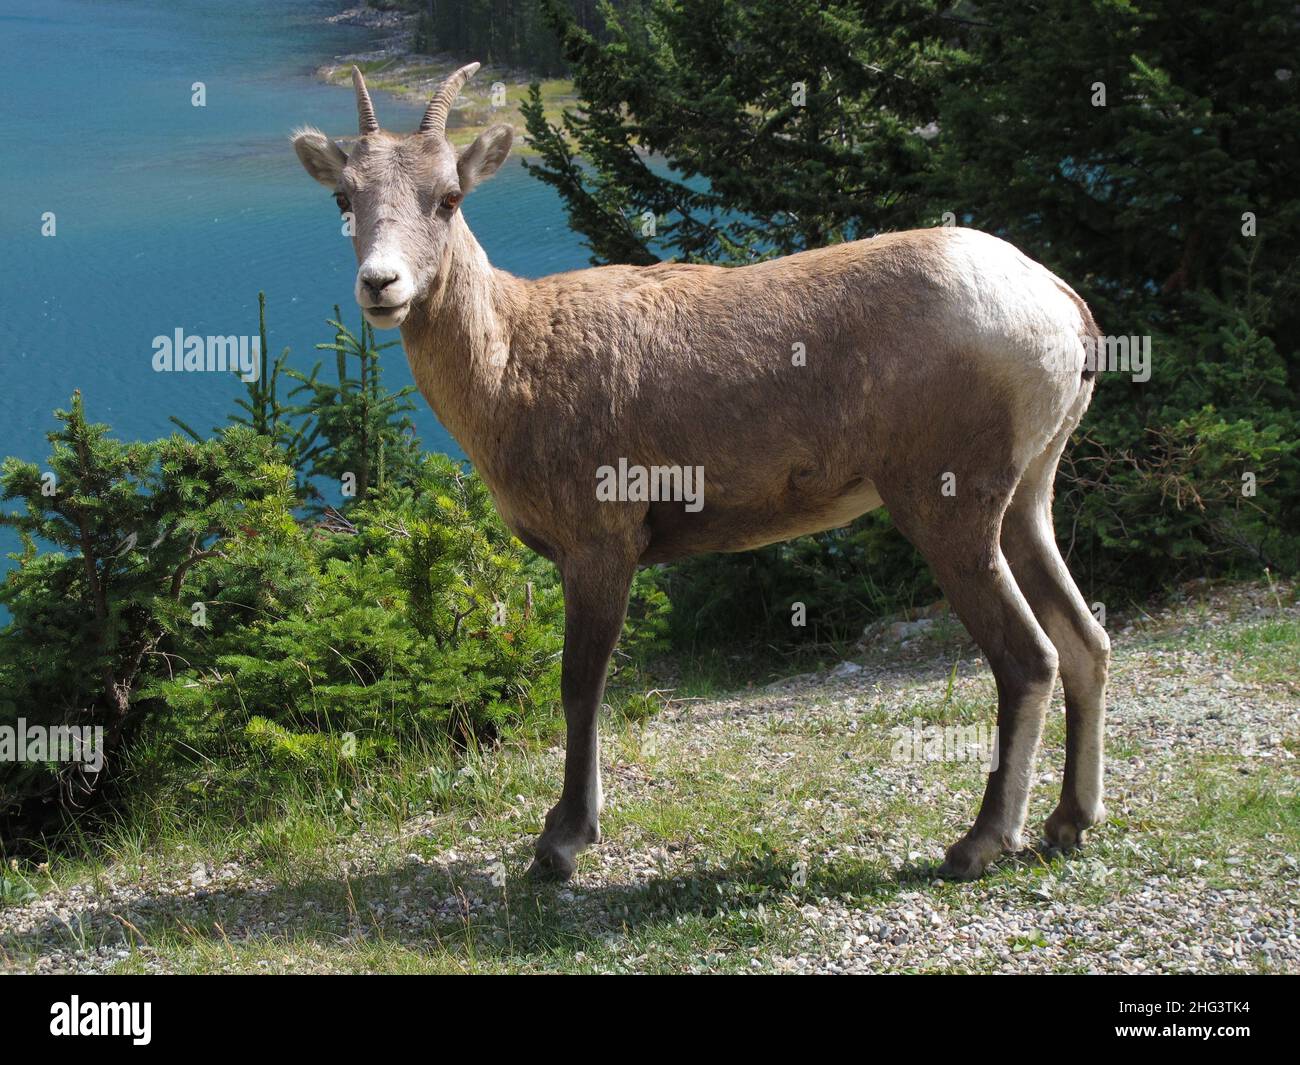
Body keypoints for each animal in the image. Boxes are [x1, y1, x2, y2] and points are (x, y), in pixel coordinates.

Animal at [293, 65, 1110, 881]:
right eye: (344, 199)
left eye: (448, 197)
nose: (382, 284)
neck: (511, 365)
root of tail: (1065, 311)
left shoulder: (601, 545)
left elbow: (580, 685)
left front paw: (561, 844)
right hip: (1028, 498)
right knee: (1086, 641)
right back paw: (1068, 823)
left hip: (950, 506)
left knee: (1028, 657)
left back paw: (979, 843)